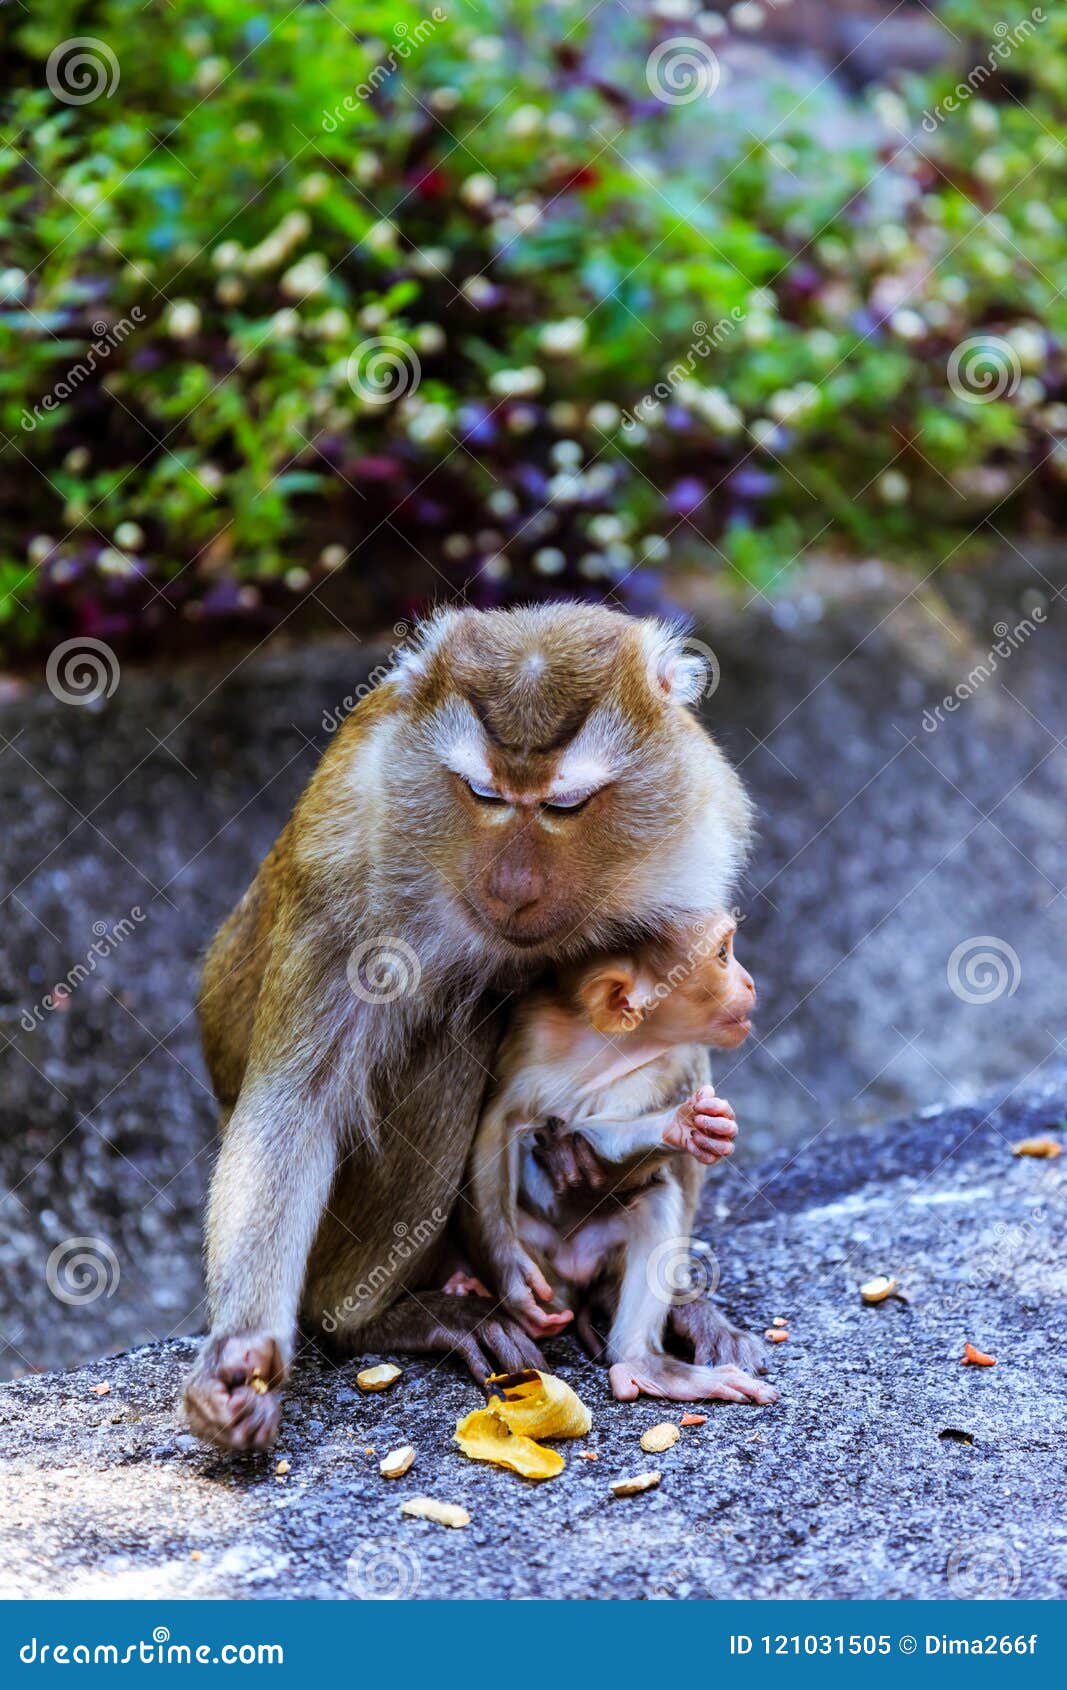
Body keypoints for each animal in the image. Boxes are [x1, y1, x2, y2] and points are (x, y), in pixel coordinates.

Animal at [455, 911, 775, 1403]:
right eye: (723, 954)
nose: (750, 982)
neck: (607, 1043)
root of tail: (575, 1274)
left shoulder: (673, 1060)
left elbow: (602, 1132)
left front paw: (682, 1127)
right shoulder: (533, 1029)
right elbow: (497, 1125)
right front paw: (511, 1278)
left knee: (654, 1203)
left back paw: (644, 1364)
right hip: (547, 1266)